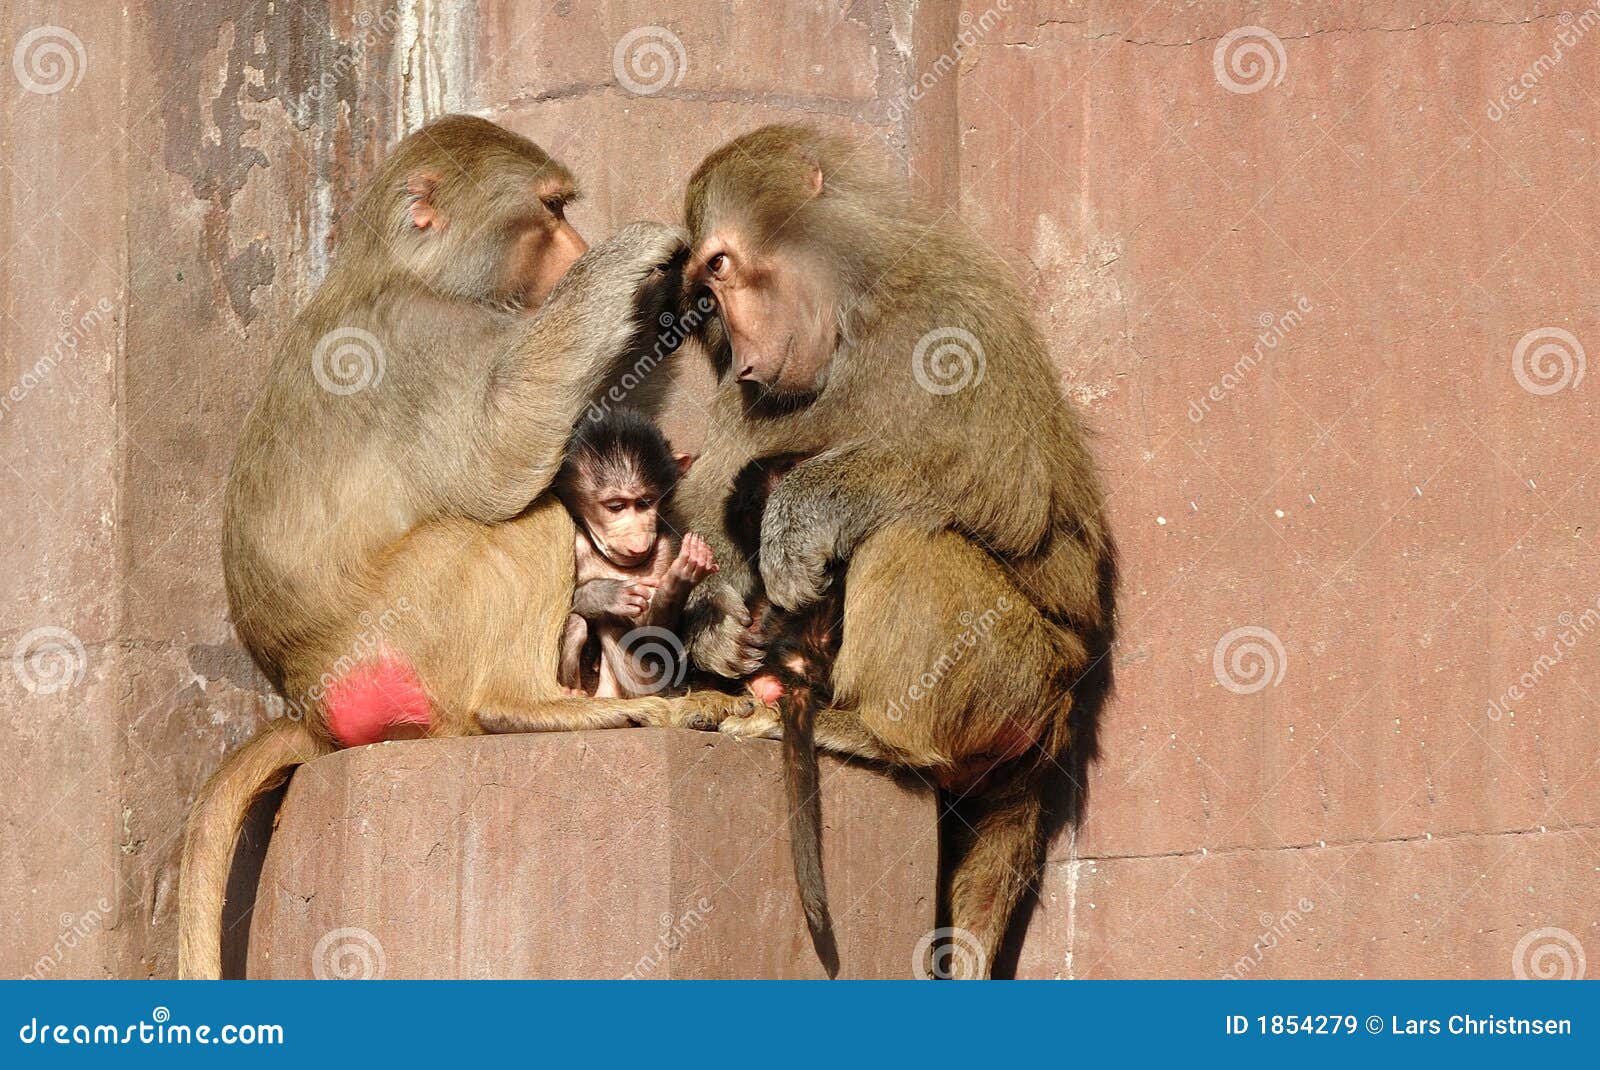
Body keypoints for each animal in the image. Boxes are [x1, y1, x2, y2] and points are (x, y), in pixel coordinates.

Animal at [552, 408, 719, 697]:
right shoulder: (569, 539)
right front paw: (604, 595)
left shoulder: (665, 547)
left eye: (644, 503)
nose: (639, 542)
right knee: (577, 624)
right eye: (616, 506)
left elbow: (655, 643)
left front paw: (678, 580)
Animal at [671, 124, 1117, 978]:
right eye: (705, 297)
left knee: (909, 542)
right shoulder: (752, 403)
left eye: (720, 265)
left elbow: (1003, 478)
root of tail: (1059, 721)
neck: (850, 318)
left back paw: (876, 732)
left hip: (1022, 678)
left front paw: (800, 514)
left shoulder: (949, 311)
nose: (740, 355)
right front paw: (715, 622)